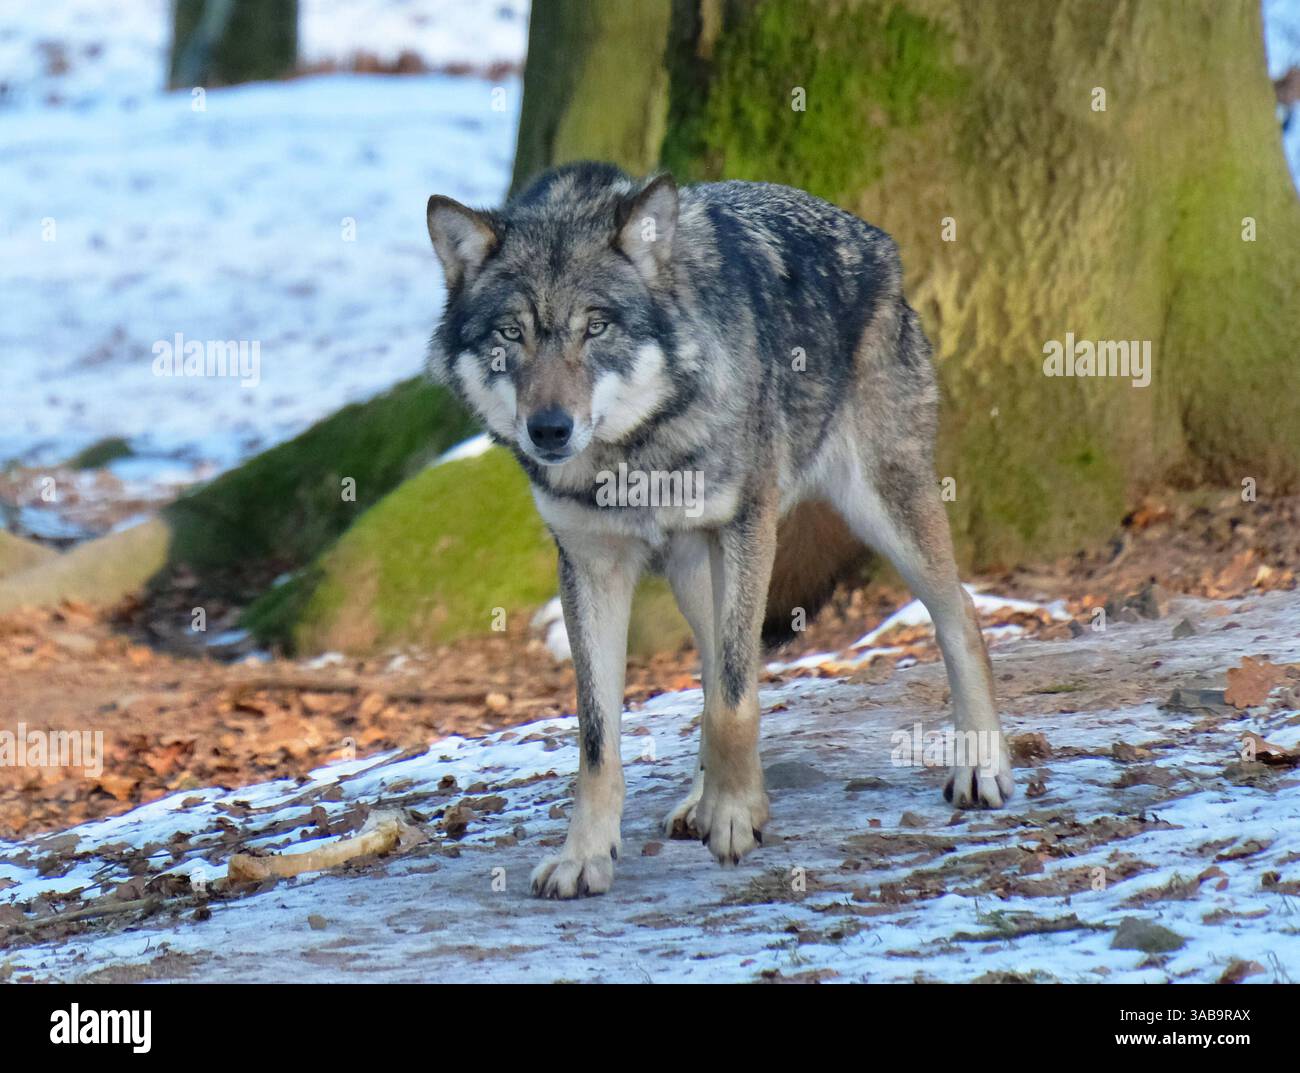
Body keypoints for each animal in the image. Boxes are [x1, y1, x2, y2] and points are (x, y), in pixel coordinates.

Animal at [425, 162, 1013, 899]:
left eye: (596, 327)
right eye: (511, 334)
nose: (549, 429)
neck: (635, 454)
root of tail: (871, 234)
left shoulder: (744, 526)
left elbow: (733, 704)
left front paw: (732, 818)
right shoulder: (590, 566)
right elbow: (599, 735)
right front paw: (585, 855)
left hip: (880, 506)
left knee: (958, 611)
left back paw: (980, 766)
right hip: (693, 572)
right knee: (717, 673)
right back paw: (703, 800)